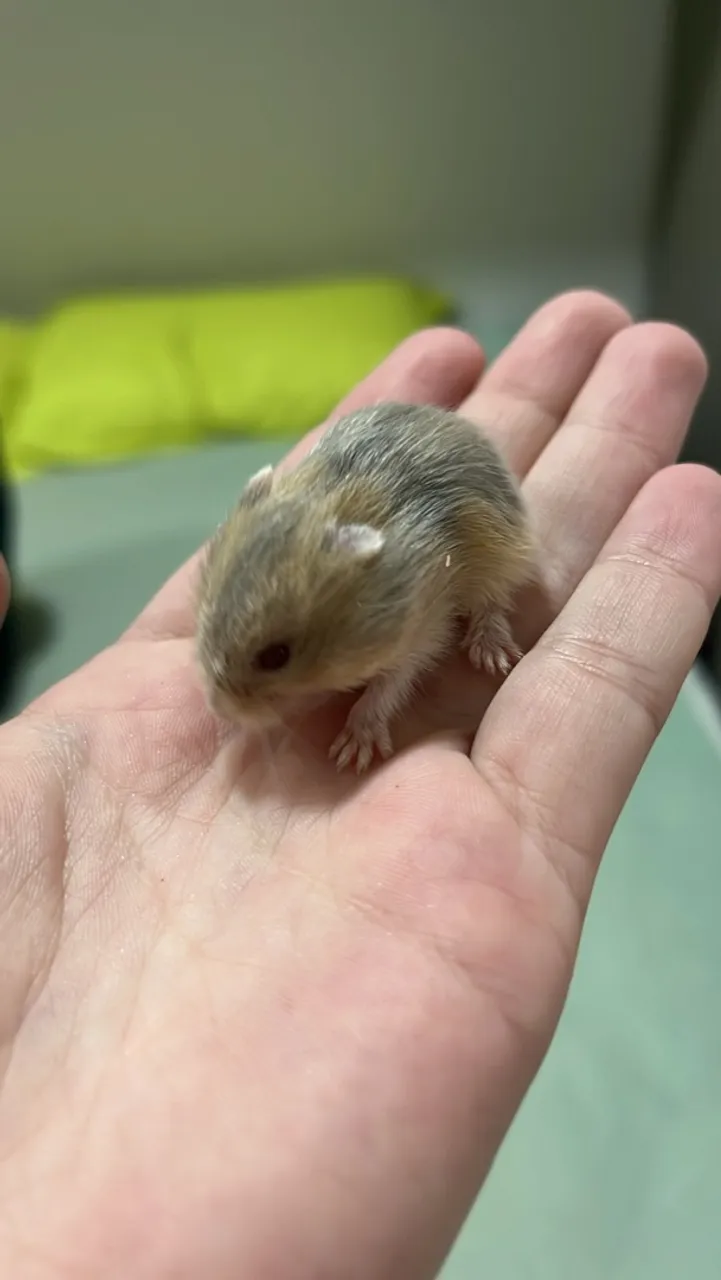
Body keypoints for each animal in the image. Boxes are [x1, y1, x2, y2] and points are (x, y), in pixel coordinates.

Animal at [195, 402, 536, 774]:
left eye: (276, 656)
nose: (218, 708)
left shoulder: (421, 632)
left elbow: (388, 686)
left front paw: (351, 754)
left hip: (503, 553)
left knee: (493, 602)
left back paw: (494, 656)